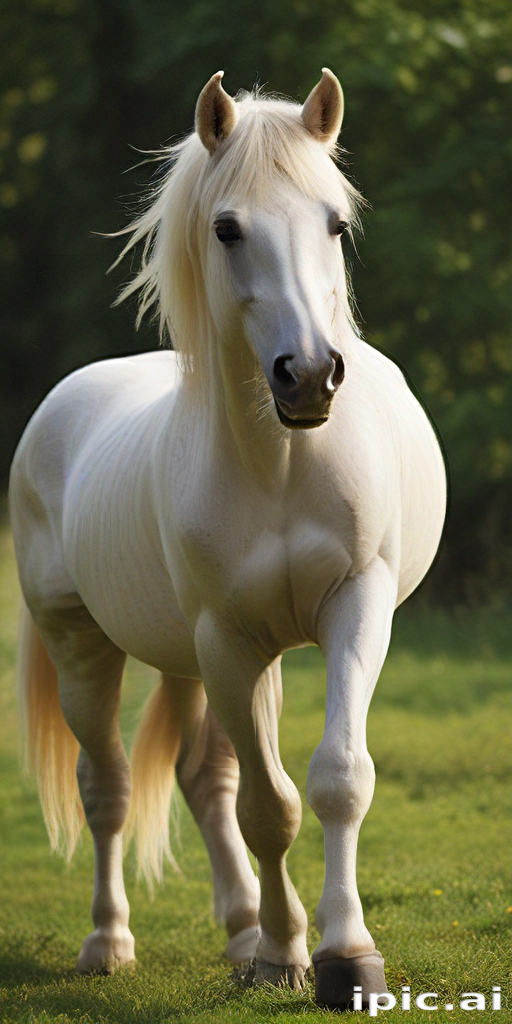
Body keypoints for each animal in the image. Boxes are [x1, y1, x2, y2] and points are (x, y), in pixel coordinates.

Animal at [9, 69, 446, 1009]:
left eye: (336, 223)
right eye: (227, 227)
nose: (309, 376)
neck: (280, 465)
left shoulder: (354, 609)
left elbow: (334, 779)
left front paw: (343, 955)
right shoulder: (230, 641)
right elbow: (268, 808)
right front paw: (289, 958)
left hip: (197, 663)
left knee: (203, 778)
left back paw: (243, 930)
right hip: (88, 648)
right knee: (108, 788)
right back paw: (111, 941)